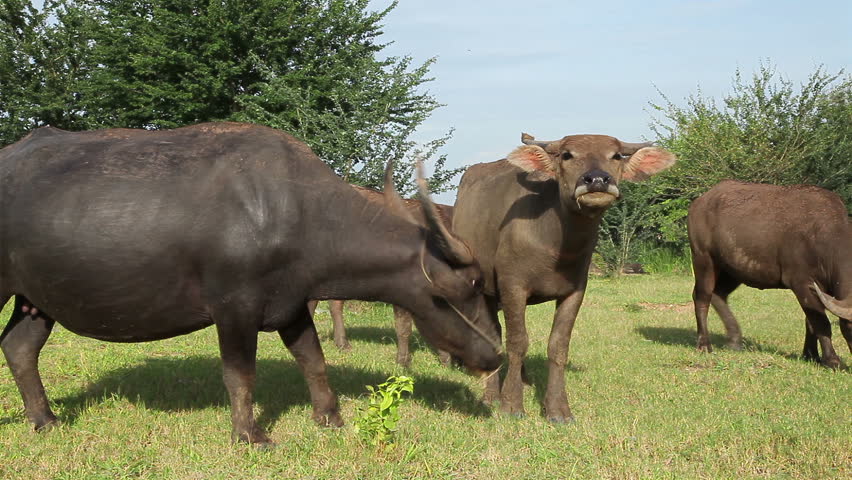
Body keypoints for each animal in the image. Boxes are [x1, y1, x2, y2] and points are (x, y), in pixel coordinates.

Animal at [452, 132, 676, 422]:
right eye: (568, 155)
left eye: (616, 155)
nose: (597, 180)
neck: (557, 245)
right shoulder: (513, 286)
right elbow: (517, 342)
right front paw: (511, 404)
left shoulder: (575, 291)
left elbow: (558, 346)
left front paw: (558, 409)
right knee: (492, 334)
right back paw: (491, 394)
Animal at [687, 180, 852, 367]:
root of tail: (699, 202)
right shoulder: (801, 284)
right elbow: (821, 323)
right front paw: (832, 360)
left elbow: (810, 321)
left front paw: (810, 354)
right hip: (703, 258)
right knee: (702, 296)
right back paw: (704, 344)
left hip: (733, 270)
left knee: (718, 294)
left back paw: (735, 339)